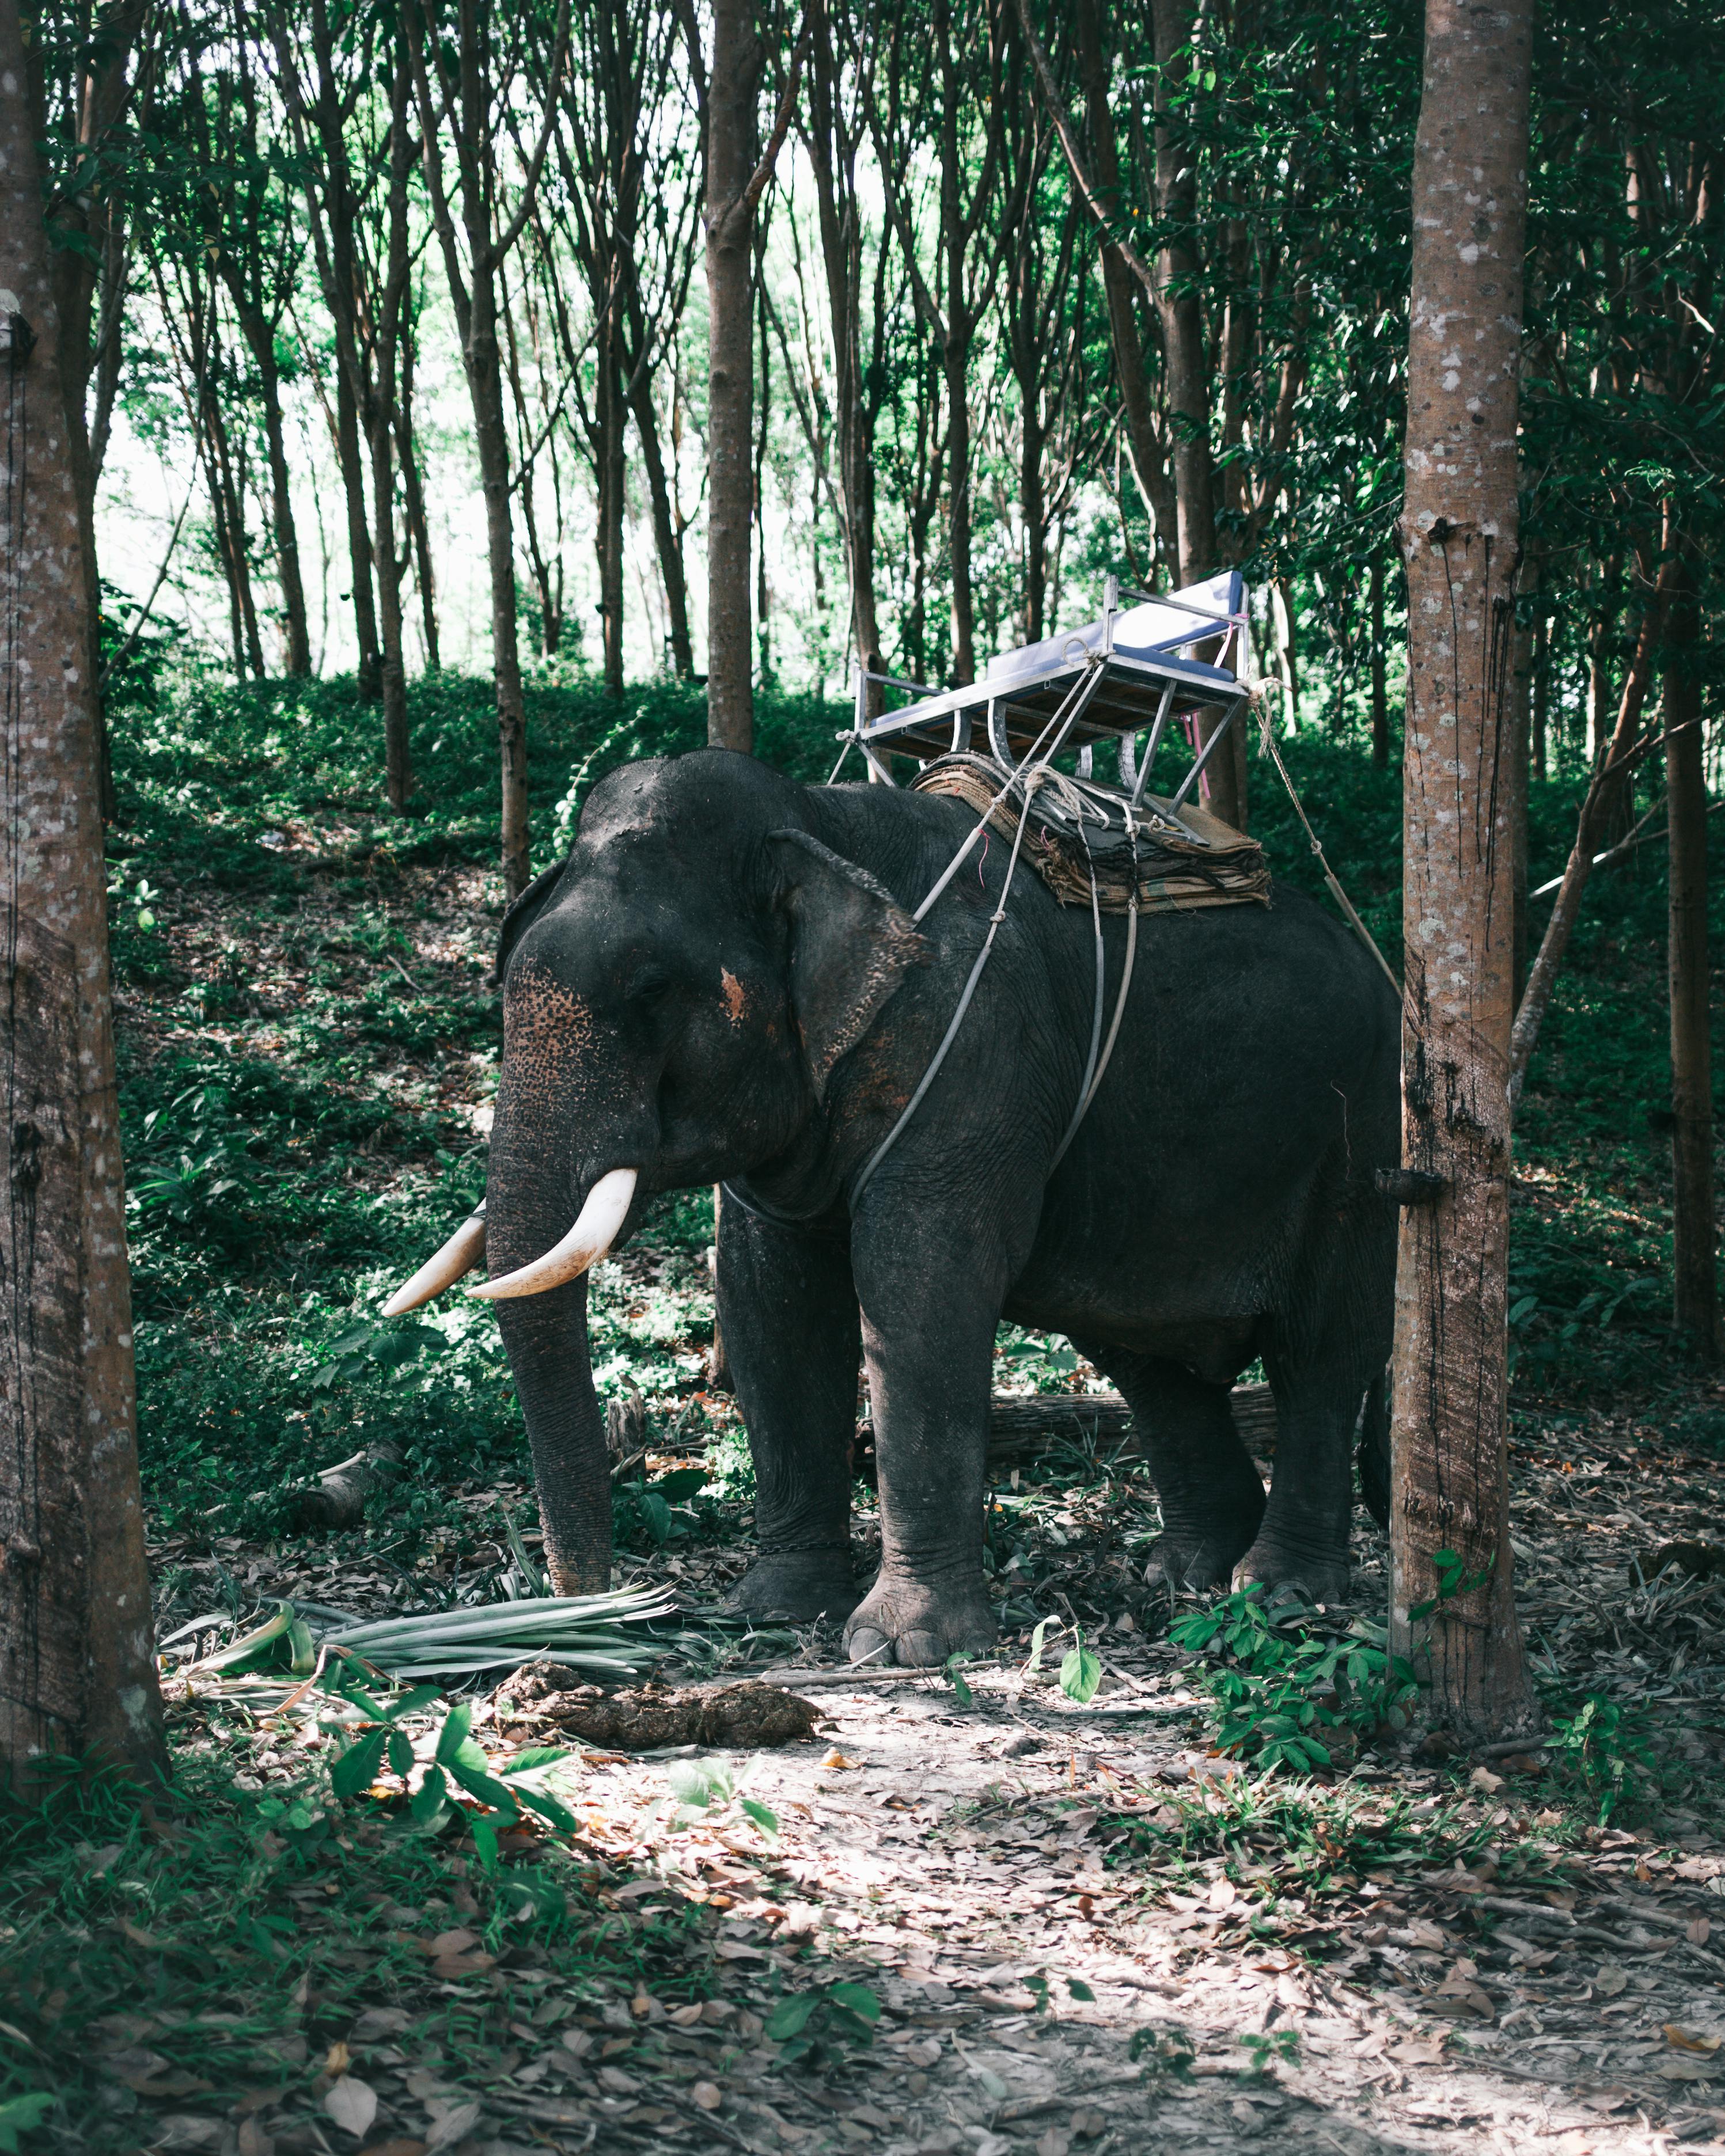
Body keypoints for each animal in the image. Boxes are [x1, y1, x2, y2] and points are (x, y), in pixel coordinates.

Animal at [387, 746, 1400, 1668]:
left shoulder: (978, 1047)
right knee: (1148, 1358)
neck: (821, 821)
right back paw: (1188, 1573)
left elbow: (918, 1286)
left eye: (649, 990)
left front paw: (902, 1648)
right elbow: (769, 1297)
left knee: (1318, 1350)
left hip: (1361, 1139)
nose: (580, 1624)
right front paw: (771, 1609)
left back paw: (1277, 1594)